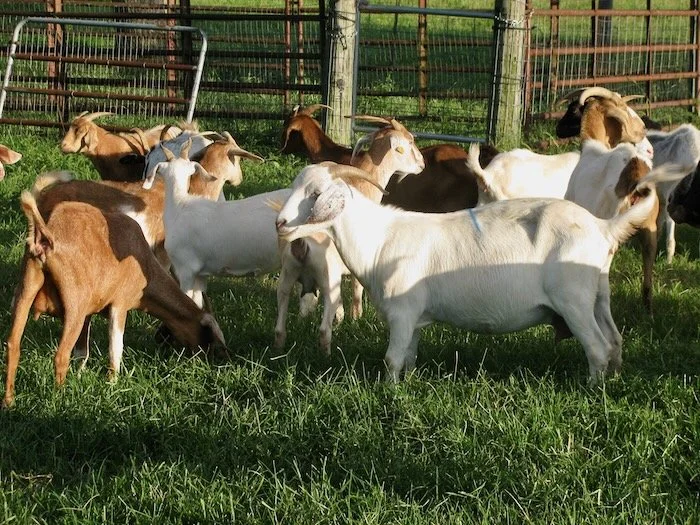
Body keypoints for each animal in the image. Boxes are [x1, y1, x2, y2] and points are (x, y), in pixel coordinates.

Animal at [2, 193, 227, 409]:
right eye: (209, 334)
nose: (218, 359)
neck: (146, 268)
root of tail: (45, 238)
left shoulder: (89, 312)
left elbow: (82, 352)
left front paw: (80, 377)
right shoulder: (119, 304)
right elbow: (115, 347)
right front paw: (112, 383)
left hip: (25, 291)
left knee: (13, 345)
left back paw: (9, 402)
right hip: (75, 305)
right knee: (61, 355)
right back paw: (59, 399)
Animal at [273, 162, 676, 382]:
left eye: (315, 194)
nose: (280, 223)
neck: (380, 238)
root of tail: (603, 227)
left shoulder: (402, 311)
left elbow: (391, 359)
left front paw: (387, 394)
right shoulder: (415, 318)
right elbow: (408, 359)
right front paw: (405, 389)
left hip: (573, 300)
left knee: (596, 347)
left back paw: (592, 390)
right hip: (598, 294)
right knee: (614, 340)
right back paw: (613, 381)